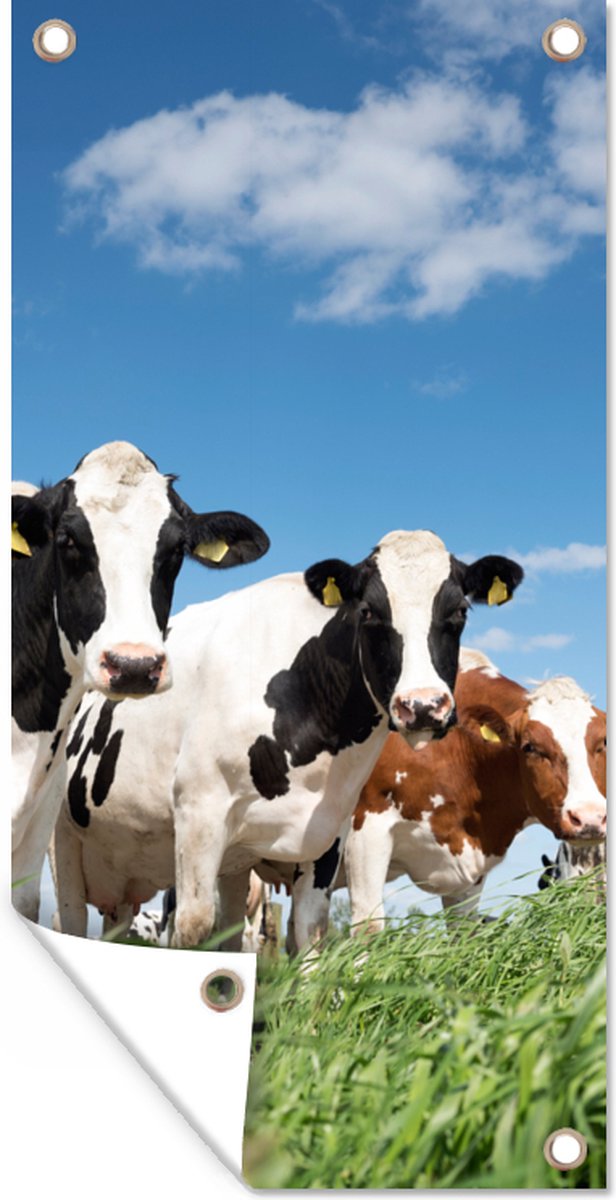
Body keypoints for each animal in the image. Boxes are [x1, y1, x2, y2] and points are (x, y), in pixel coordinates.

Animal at [51, 529, 523, 946]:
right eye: (369, 612)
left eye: (460, 612)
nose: (423, 706)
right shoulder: (199, 812)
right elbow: (194, 927)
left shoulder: (328, 832)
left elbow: (309, 932)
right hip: (63, 842)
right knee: (69, 919)